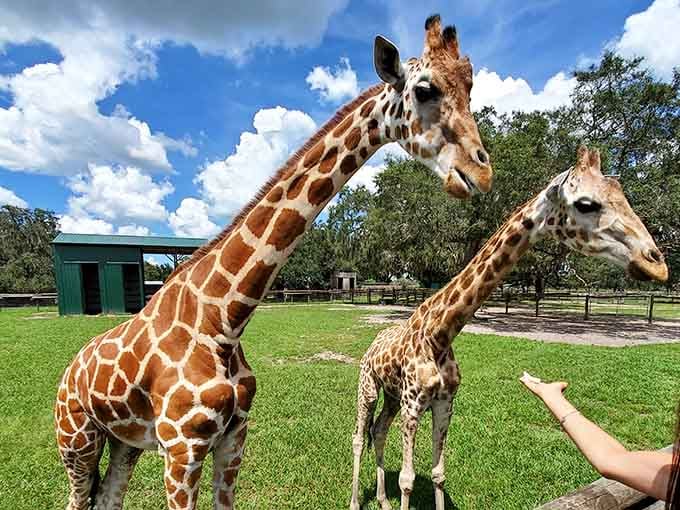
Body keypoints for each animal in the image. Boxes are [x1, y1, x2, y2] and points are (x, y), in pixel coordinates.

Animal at [54, 14, 493, 510]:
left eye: (470, 88)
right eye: (424, 89)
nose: (481, 172)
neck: (223, 320)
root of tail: (67, 374)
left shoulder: (233, 437)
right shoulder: (182, 447)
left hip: (124, 442)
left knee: (107, 497)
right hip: (77, 440)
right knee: (77, 498)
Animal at [349, 145, 668, 510]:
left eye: (623, 194)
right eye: (586, 203)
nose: (656, 262)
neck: (440, 333)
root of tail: (373, 343)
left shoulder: (444, 402)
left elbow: (438, 473)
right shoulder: (414, 404)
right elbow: (407, 478)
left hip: (391, 396)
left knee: (378, 431)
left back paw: (382, 501)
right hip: (369, 387)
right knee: (359, 436)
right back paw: (355, 501)